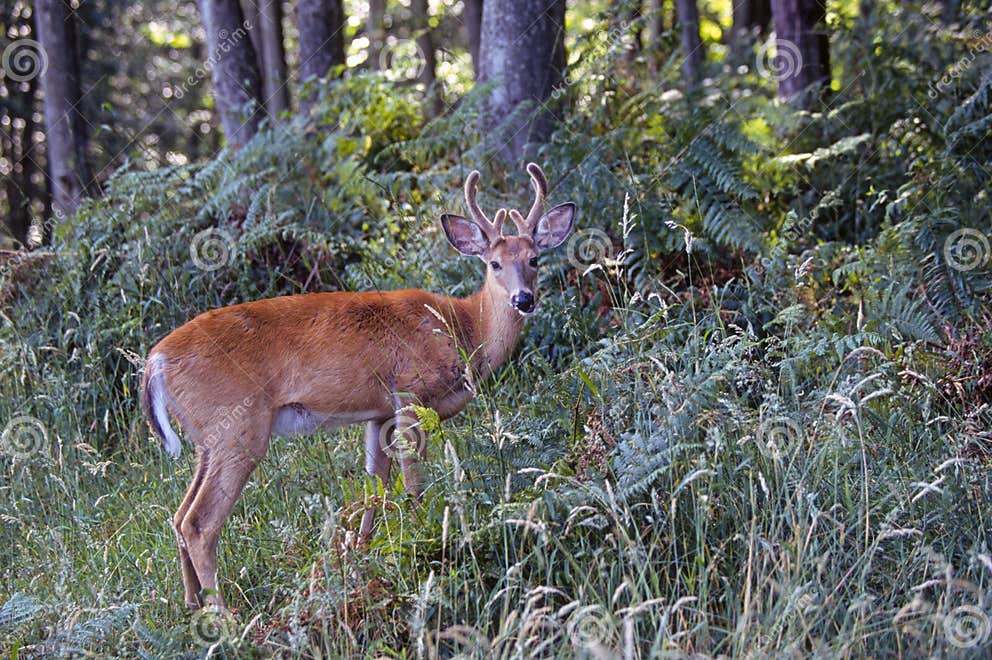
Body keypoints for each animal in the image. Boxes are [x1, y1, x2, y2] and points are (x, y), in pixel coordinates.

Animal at [140, 163, 576, 609]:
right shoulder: (409, 393)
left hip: (207, 439)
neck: (464, 327)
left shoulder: (377, 413)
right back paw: (223, 615)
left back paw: (193, 606)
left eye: (535, 259)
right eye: (493, 264)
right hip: (236, 426)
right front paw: (422, 542)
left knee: (178, 515)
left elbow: (374, 490)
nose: (524, 300)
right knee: (199, 522)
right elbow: (413, 484)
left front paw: (363, 561)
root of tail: (155, 361)